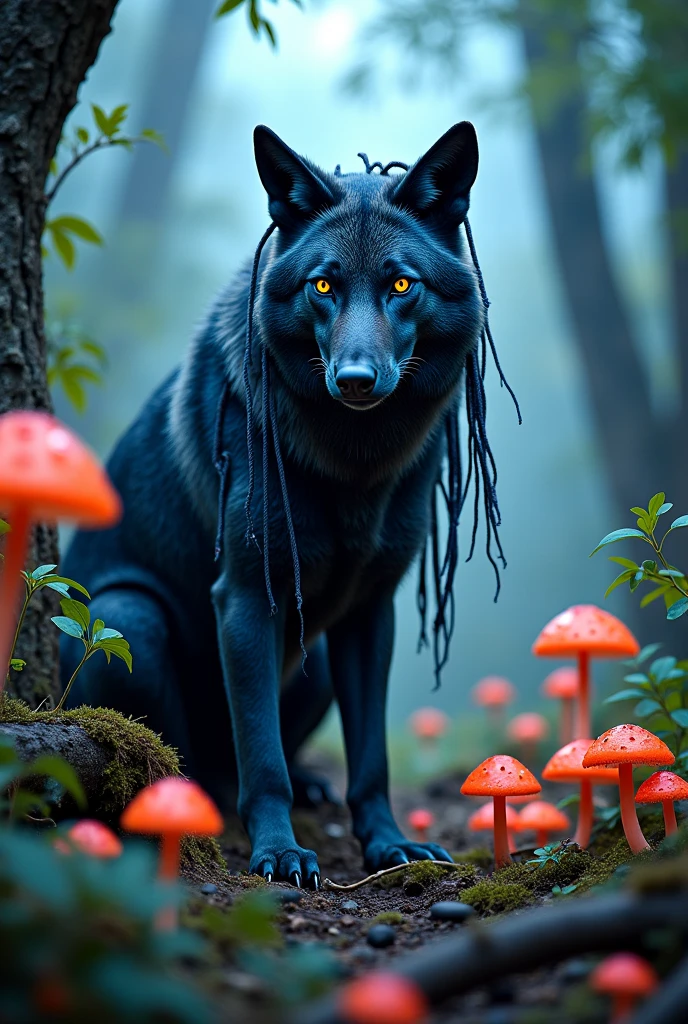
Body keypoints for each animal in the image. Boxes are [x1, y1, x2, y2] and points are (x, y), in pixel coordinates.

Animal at [61, 122, 485, 889]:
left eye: (401, 284)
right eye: (323, 285)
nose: (355, 379)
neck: (355, 463)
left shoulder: (370, 612)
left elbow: (371, 759)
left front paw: (389, 845)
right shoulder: (246, 601)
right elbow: (262, 760)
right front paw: (280, 854)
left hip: (313, 655)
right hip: (128, 619)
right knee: (201, 764)